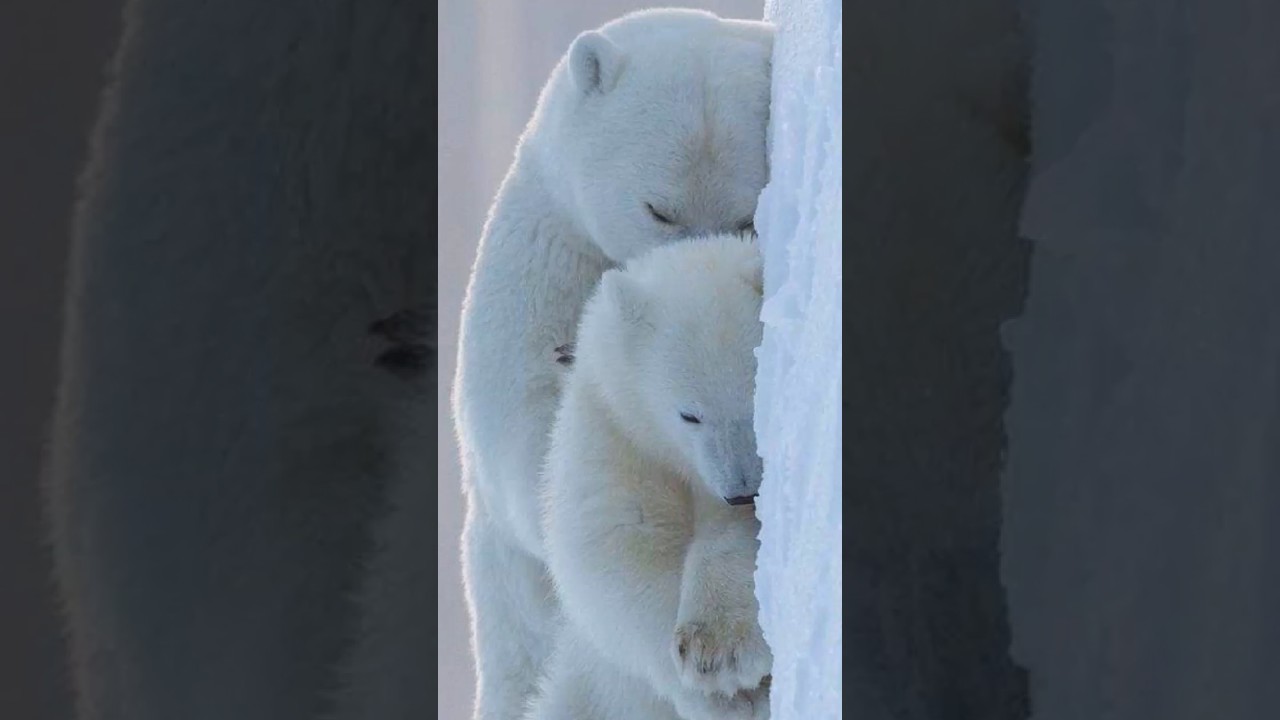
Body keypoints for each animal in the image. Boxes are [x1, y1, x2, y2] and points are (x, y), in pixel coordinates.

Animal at [528, 234, 772, 720]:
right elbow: (617, 557)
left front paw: (725, 649)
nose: (743, 491)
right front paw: (718, 687)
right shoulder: (614, 431)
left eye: (757, 394)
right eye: (689, 415)